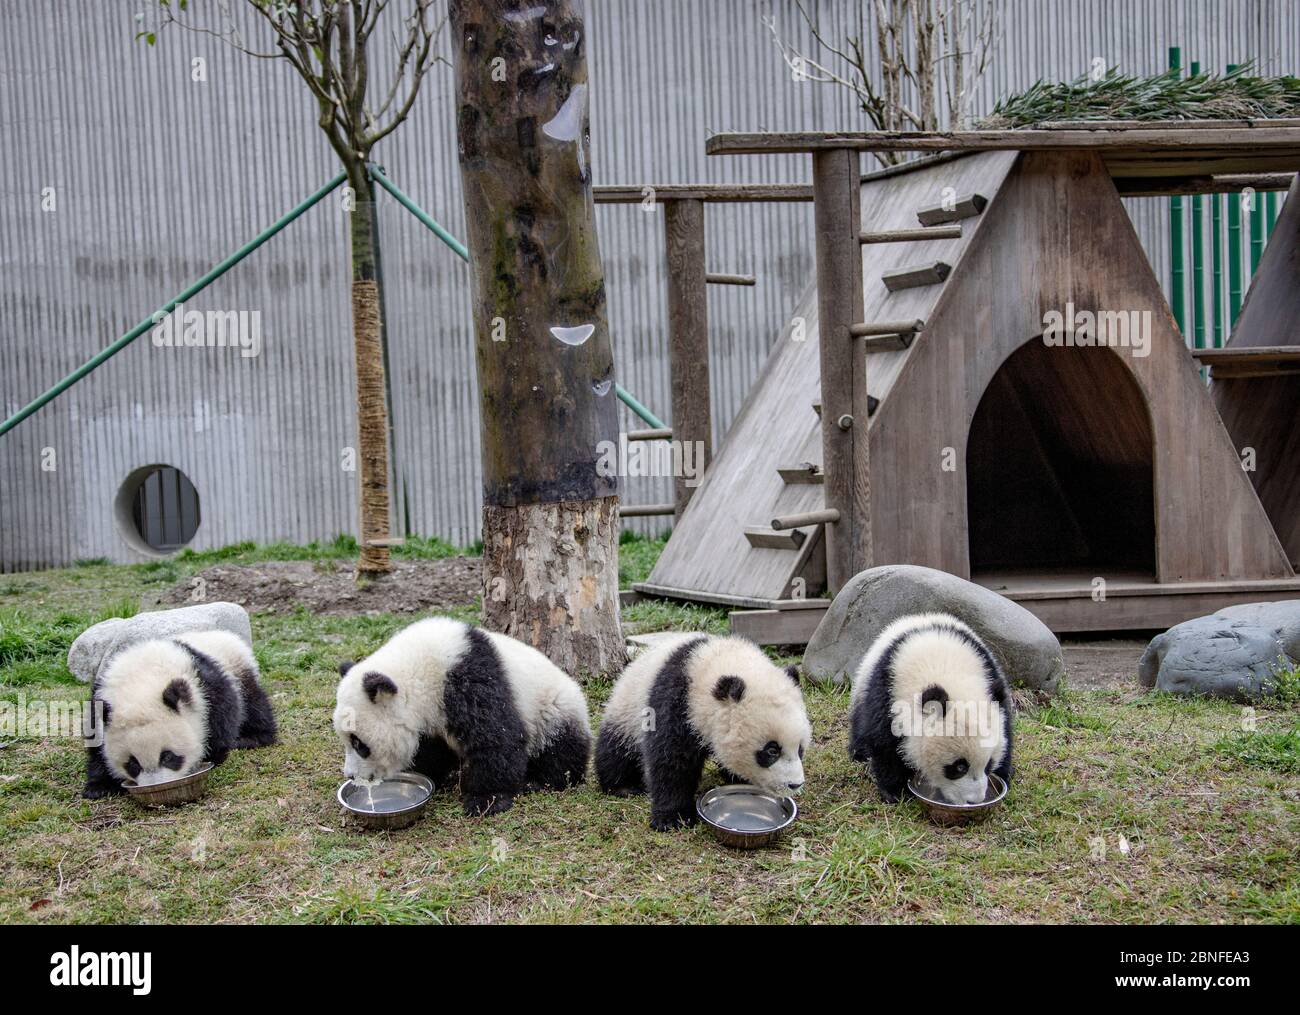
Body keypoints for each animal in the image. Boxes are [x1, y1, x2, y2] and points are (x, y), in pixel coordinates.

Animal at [83, 629, 277, 798]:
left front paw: (211, 756)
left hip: (237, 668)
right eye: (133, 763)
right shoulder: (99, 700)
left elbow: (222, 719)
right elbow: (97, 746)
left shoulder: (205, 686)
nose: (155, 785)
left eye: (168, 756)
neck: (140, 685)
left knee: (254, 704)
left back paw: (252, 738)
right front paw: (99, 787)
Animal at [333, 616, 591, 816]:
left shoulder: (466, 678)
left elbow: (495, 738)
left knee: (560, 749)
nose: (351, 775)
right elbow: (431, 748)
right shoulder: (430, 717)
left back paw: (539, 780)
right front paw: (433, 774)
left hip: (552, 707)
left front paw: (486, 800)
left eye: (358, 743)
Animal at [595, 633, 811, 831]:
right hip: (628, 708)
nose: (795, 784)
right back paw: (623, 786)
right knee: (617, 748)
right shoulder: (676, 701)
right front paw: (674, 818)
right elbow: (671, 759)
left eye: (800, 749)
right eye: (771, 750)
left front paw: (739, 778)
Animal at [848, 613, 1012, 805]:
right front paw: (895, 791)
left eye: (988, 764)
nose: (974, 801)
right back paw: (859, 753)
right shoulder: (888, 691)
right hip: (864, 682)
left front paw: (1003, 774)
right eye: (959, 767)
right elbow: (884, 741)